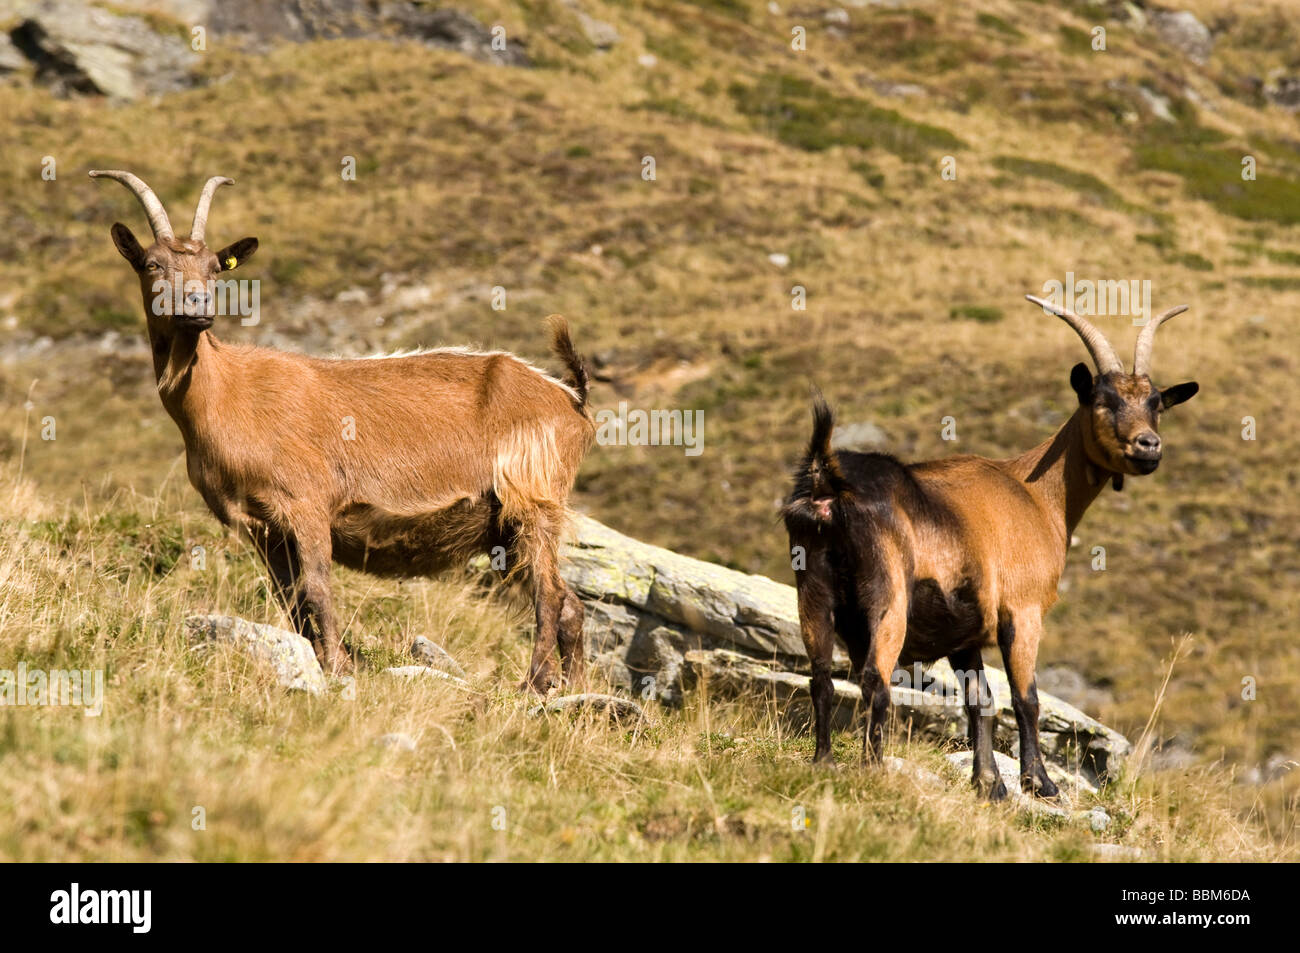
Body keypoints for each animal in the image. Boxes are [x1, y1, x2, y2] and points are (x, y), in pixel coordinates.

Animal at [91, 169, 595, 691]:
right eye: (152, 264)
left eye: (214, 268)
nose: (198, 306)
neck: (225, 392)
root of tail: (570, 398)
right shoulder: (262, 527)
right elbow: (291, 600)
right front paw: (324, 660)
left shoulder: (306, 503)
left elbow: (317, 589)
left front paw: (337, 667)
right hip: (508, 524)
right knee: (572, 605)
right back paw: (576, 688)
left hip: (532, 497)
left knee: (551, 595)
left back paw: (536, 682)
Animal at [782, 296, 1199, 799]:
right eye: (1104, 400)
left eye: (1156, 404)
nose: (1148, 446)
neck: (1037, 494)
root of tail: (828, 482)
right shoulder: (1023, 608)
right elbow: (1025, 697)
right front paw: (1039, 783)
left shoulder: (964, 630)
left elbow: (979, 700)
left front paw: (990, 784)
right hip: (887, 594)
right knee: (874, 681)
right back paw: (873, 769)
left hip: (812, 587)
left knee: (821, 677)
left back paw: (822, 762)